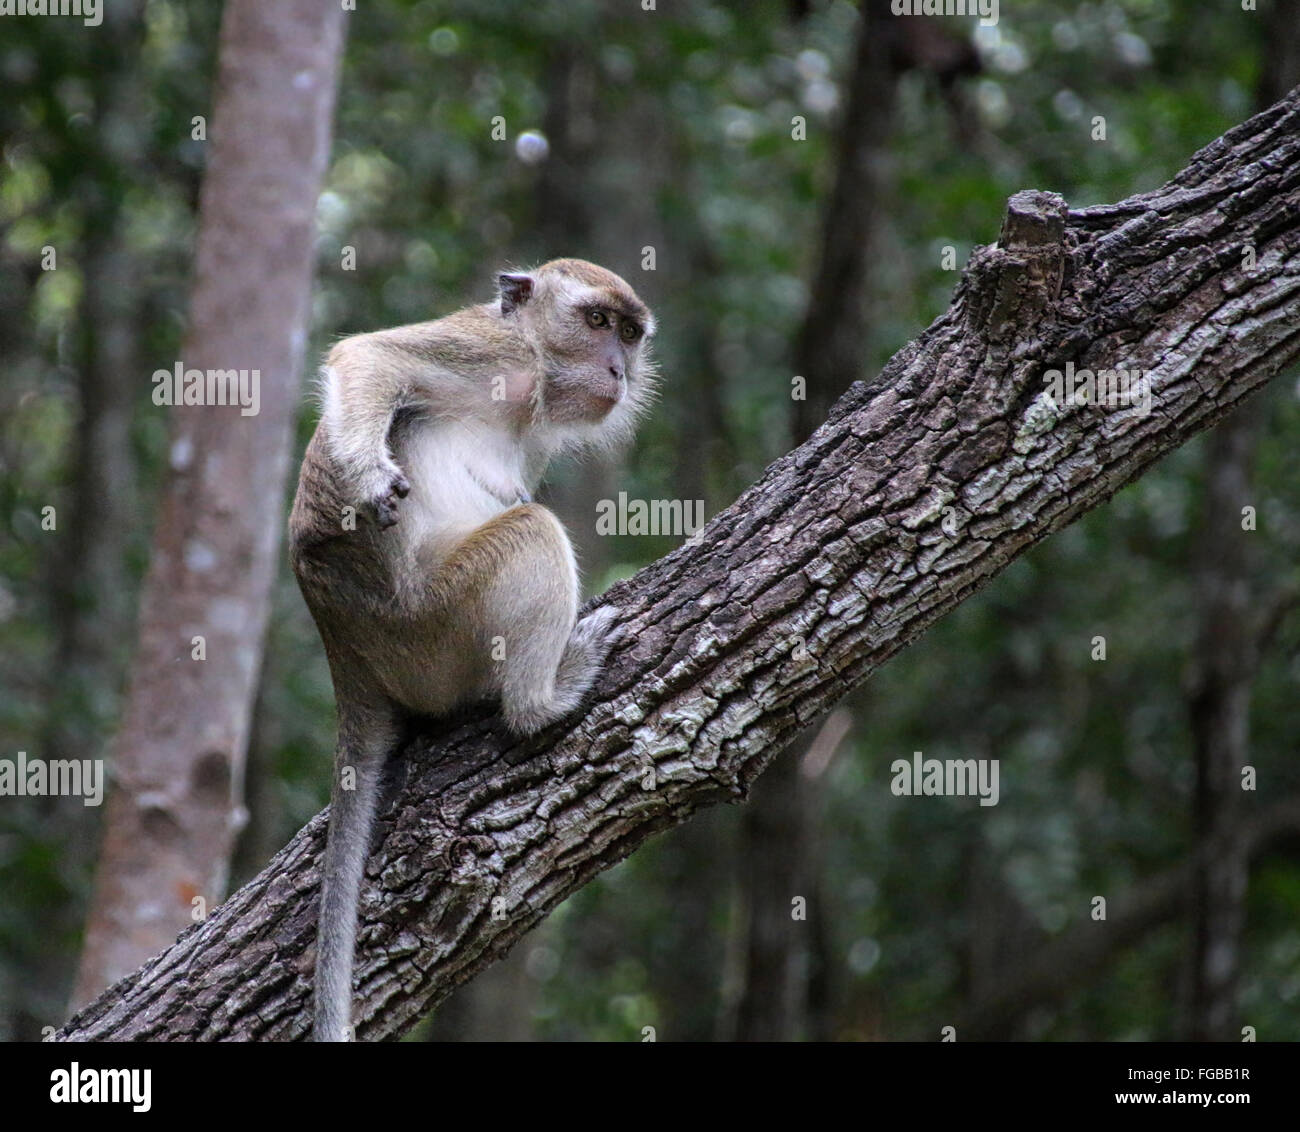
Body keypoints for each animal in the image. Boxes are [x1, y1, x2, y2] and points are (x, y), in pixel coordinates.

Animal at [288, 258, 656, 1042]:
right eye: (596, 322)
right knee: (532, 530)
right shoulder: (491, 355)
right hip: (431, 624)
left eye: (630, 333)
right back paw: (542, 700)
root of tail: (345, 650)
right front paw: (368, 473)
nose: (618, 369)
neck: (537, 375)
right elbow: (368, 357)